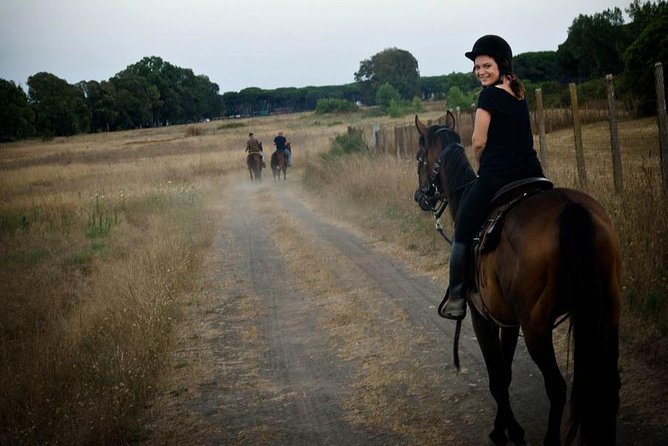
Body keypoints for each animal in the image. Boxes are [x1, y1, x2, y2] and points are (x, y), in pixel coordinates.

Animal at [414, 112, 621, 446]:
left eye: (419, 157)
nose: (420, 196)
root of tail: (571, 208)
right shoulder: (508, 321)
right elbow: (506, 372)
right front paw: (506, 426)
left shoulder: (481, 317)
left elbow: (497, 377)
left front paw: (507, 431)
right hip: (607, 314)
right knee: (610, 385)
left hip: (536, 329)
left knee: (557, 388)